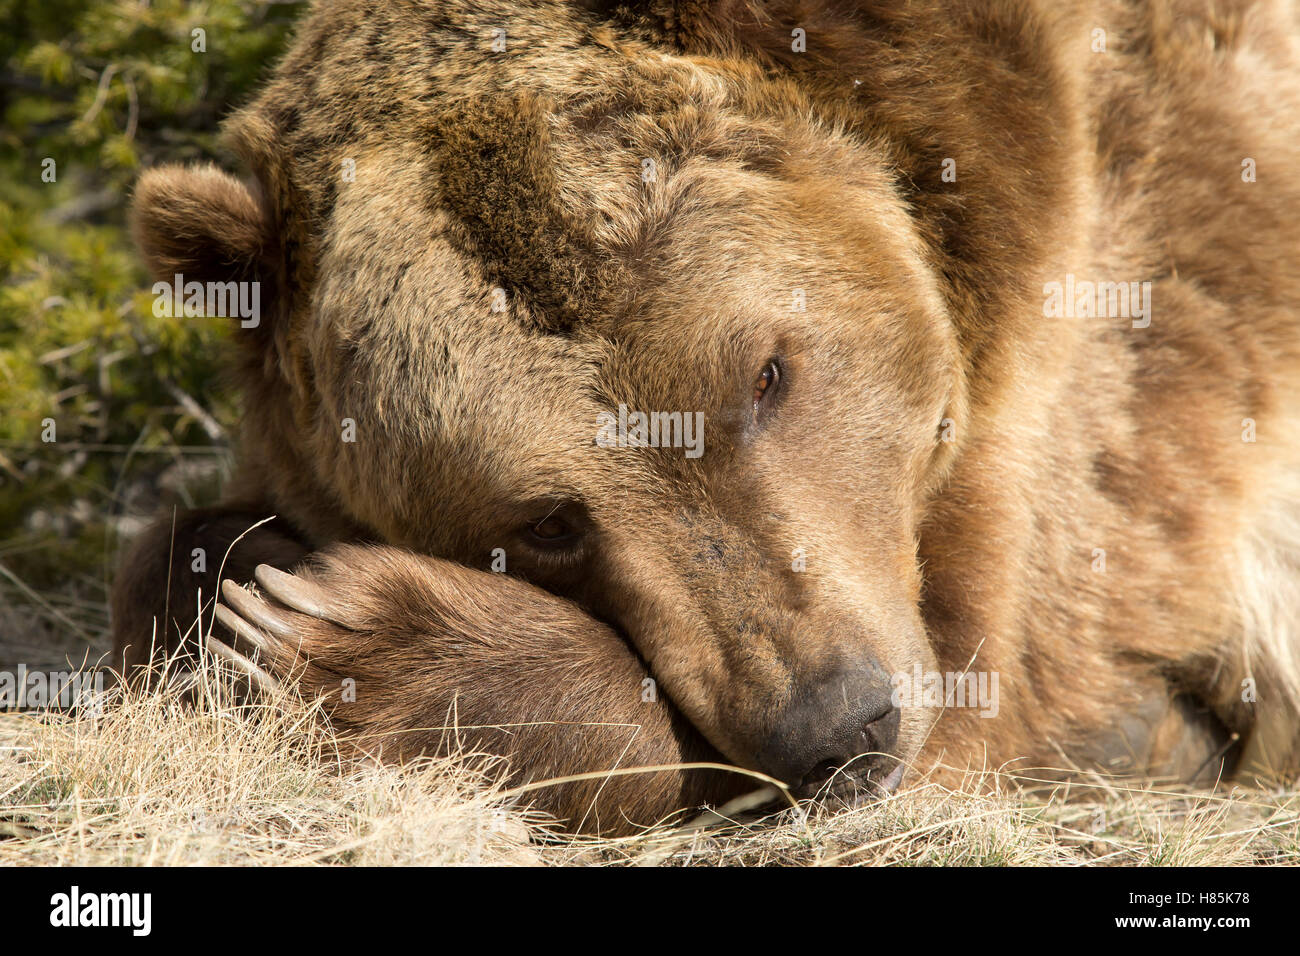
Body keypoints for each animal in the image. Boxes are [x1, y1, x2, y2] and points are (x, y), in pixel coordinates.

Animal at [112, 0, 1300, 834]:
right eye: (544, 520)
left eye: (763, 373)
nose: (838, 723)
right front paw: (231, 570)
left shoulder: (1113, 368)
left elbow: (988, 680)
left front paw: (339, 633)